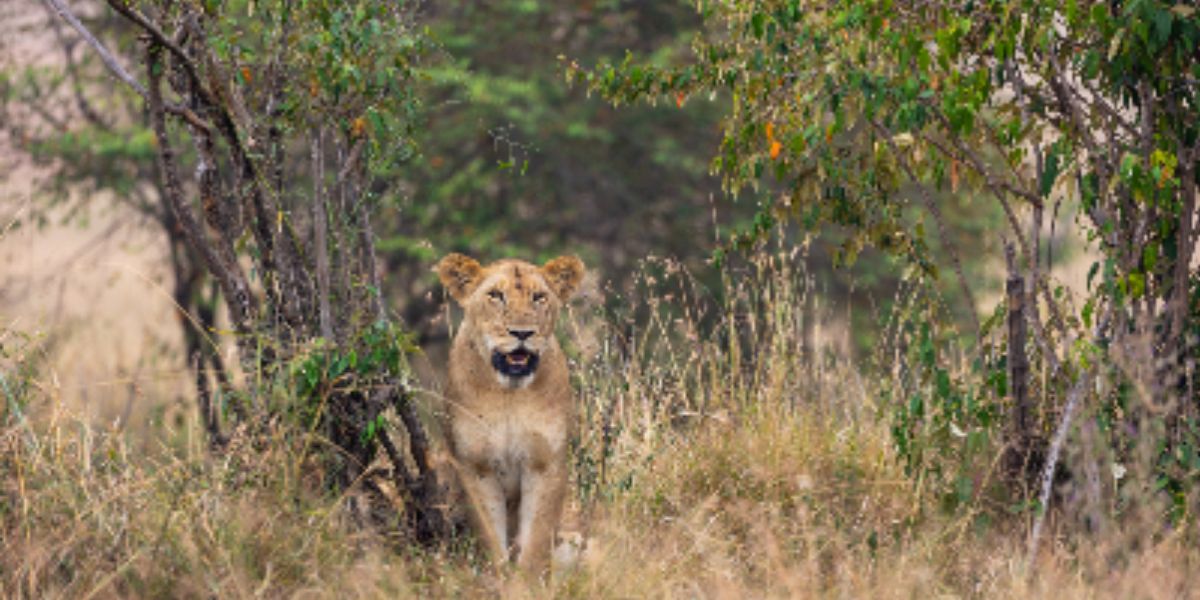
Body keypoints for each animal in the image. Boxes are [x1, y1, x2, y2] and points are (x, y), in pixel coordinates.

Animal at [434, 253, 585, 573]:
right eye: (495, 295)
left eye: (539, 297)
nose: (522, 333)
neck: (509, 396)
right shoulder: (474, 465)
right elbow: (490, 534)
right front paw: (499, 575)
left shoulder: (545, 463)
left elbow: (536, 538)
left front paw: (525, 579)